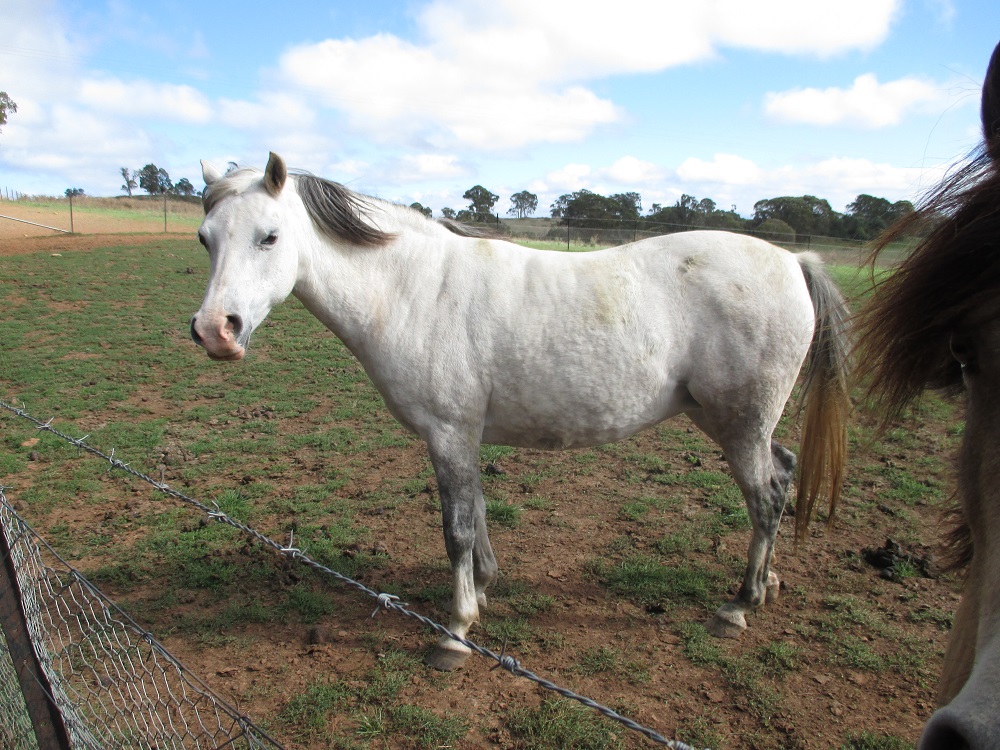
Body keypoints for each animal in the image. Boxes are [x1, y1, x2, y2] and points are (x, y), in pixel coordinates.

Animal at [190, 152, 851, 671]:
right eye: (205, 238)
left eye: (269, 236)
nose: (215, 332)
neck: (413, 289)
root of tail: (794, 262)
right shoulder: (463, 436)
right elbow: (477, 513)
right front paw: (483, 588)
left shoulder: (448, 434)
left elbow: (456, 528)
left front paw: (456, 632)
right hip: (739, 425)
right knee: (782, 472)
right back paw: (767, 585)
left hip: (739, 425)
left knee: (765, 496)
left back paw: (738, 605)